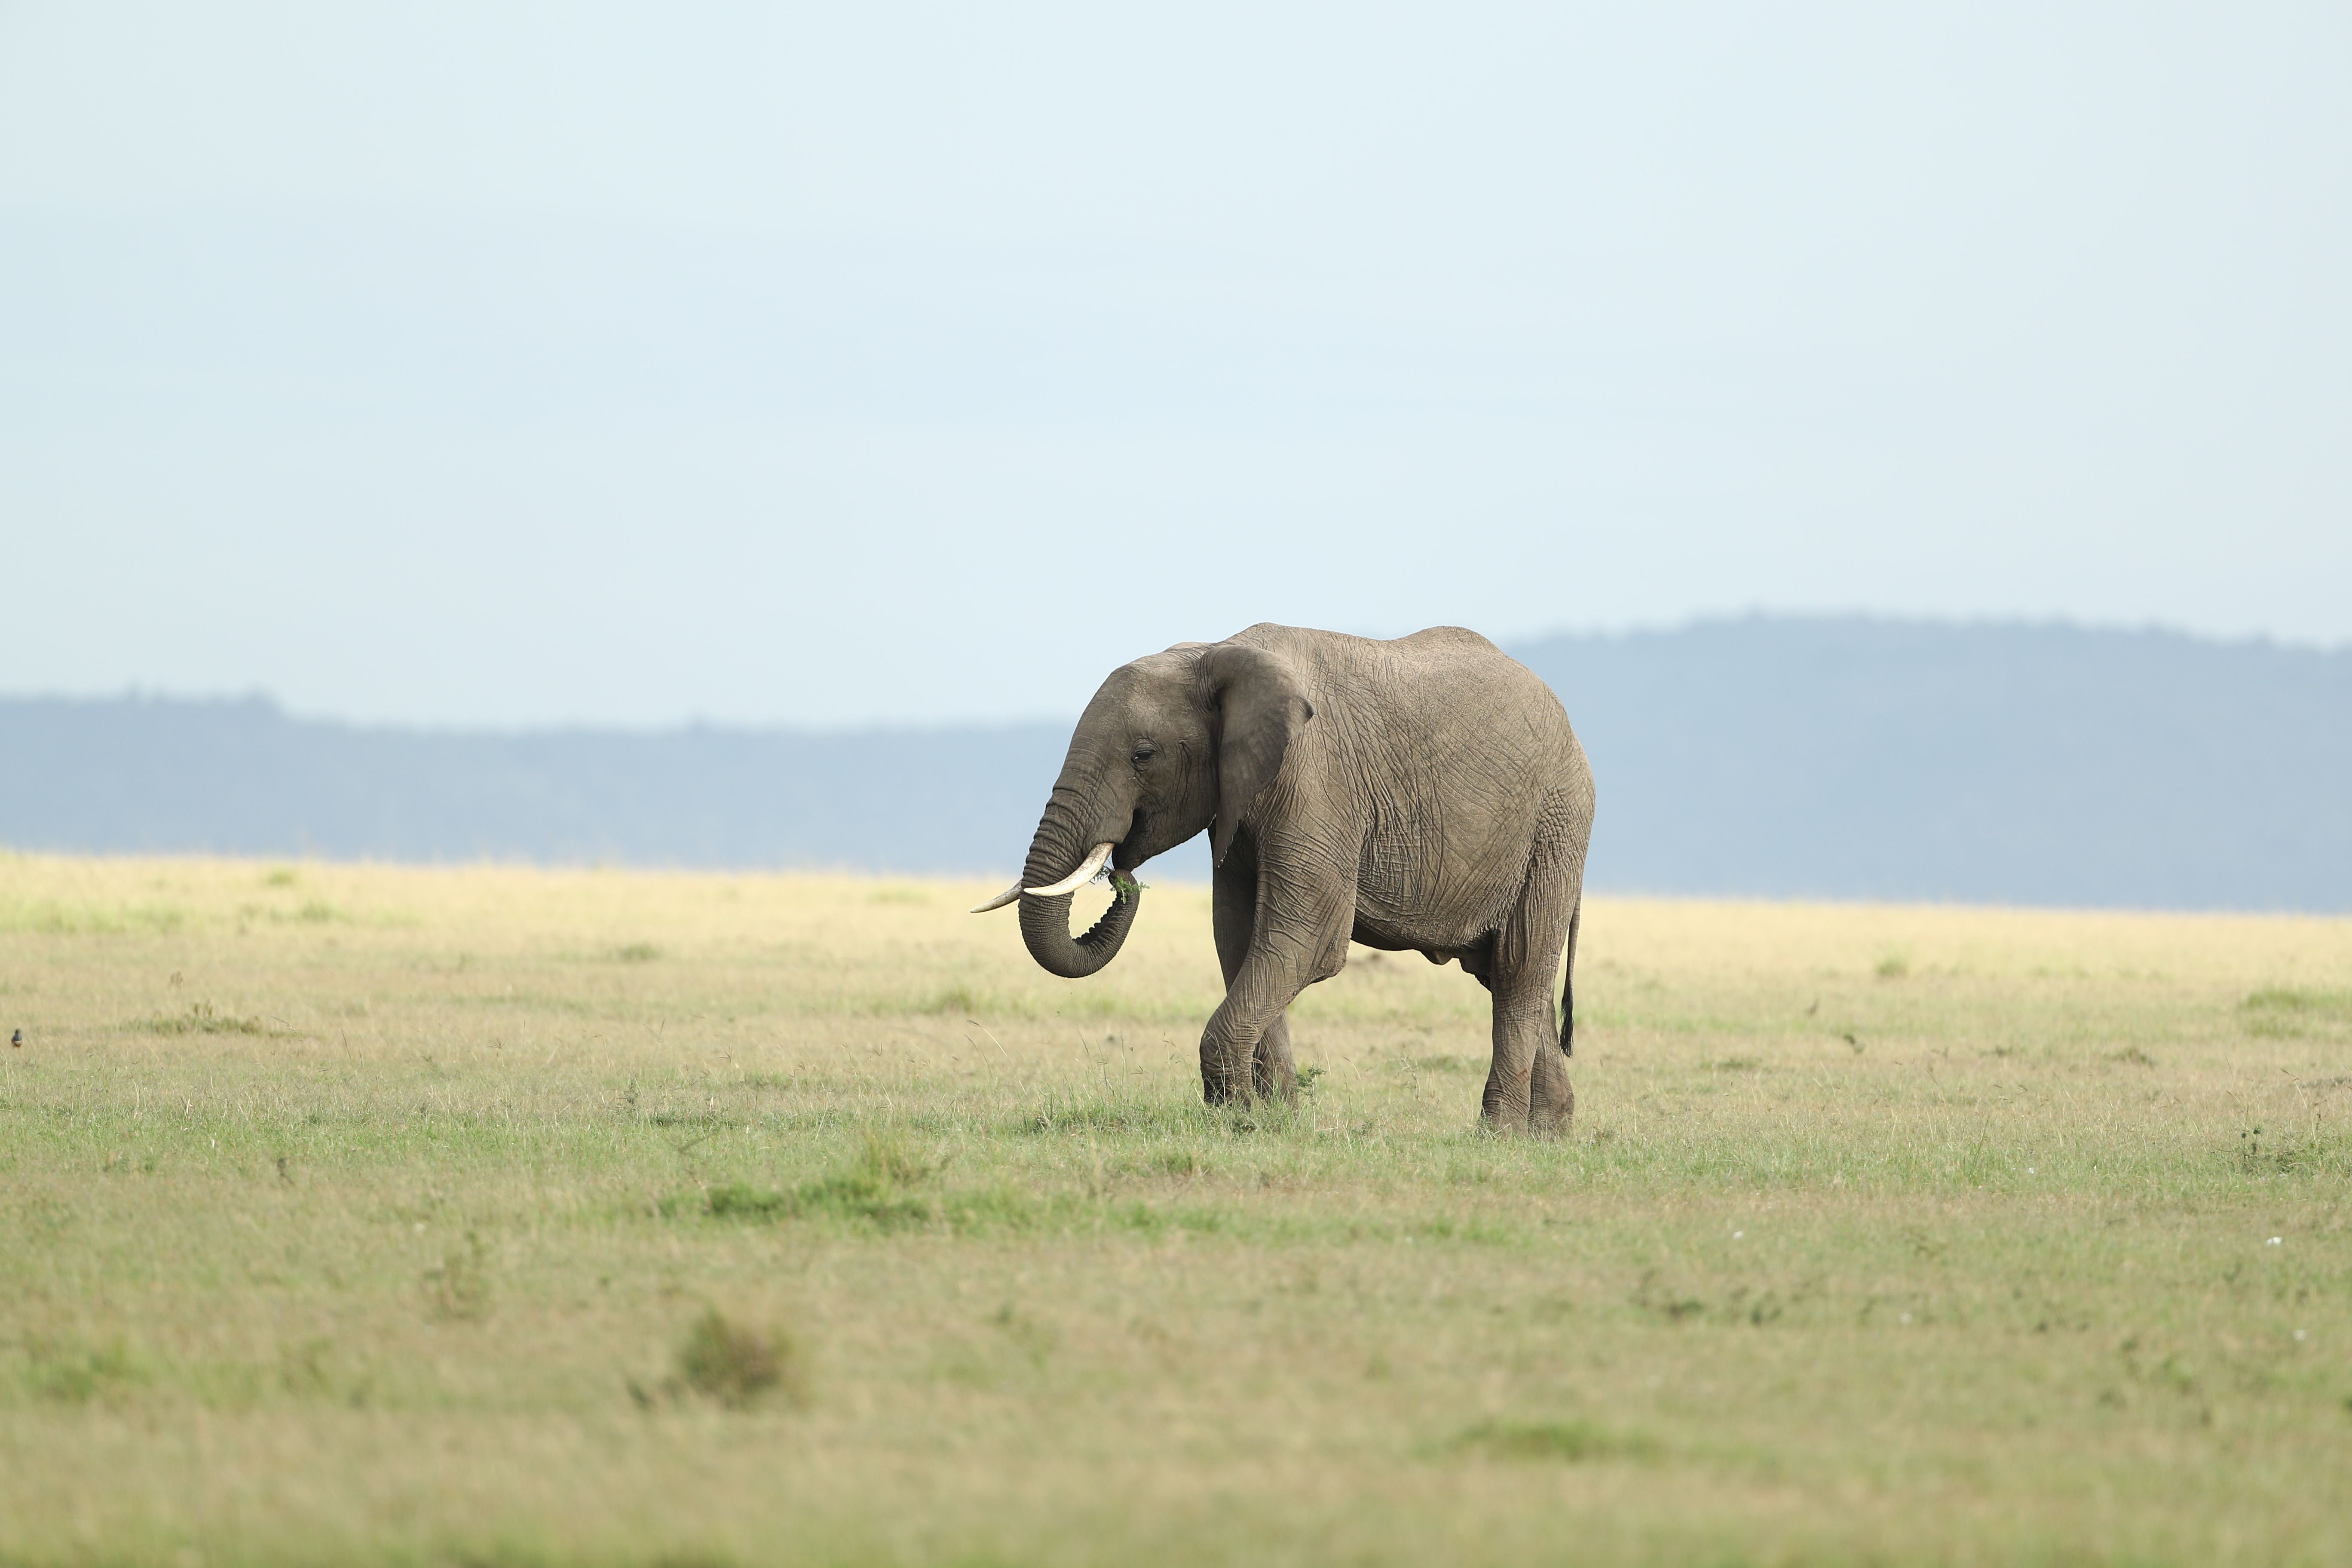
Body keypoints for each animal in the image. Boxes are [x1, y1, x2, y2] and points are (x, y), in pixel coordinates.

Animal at [973, 623, 1596, 1135]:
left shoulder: (1317, 784)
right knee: (1506, 974)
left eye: (1143, 755)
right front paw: (1274, 1120)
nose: (1121, 871)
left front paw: (1237, 1119)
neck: (1214, 653)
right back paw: (1549, 1134)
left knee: (1519, 966)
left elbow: (1306, 941)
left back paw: (1499, 1135)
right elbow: (1240, 940)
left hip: (1554, 827)